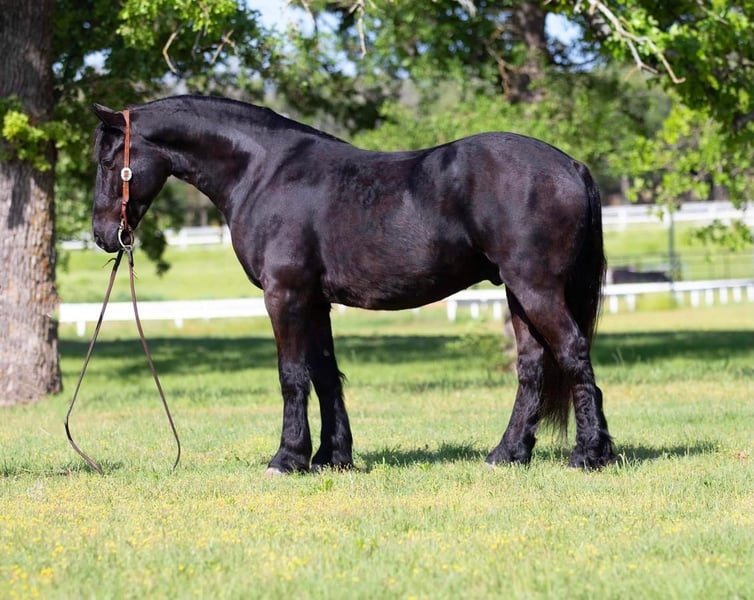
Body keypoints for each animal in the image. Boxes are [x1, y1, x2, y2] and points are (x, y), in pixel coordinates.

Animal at [91, 95, 615, 473]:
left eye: (108, 161)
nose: (102, 235)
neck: (264, 172)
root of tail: (571, 166)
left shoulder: (285, 295)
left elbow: (292, 375)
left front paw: (287, 459)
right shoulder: (315, 301)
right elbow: (325, 373)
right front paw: (332, 457)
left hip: (536, 287)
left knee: (572, 352)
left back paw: (588, 455)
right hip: (516, 292)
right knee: (532, 367)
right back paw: (509, 454)